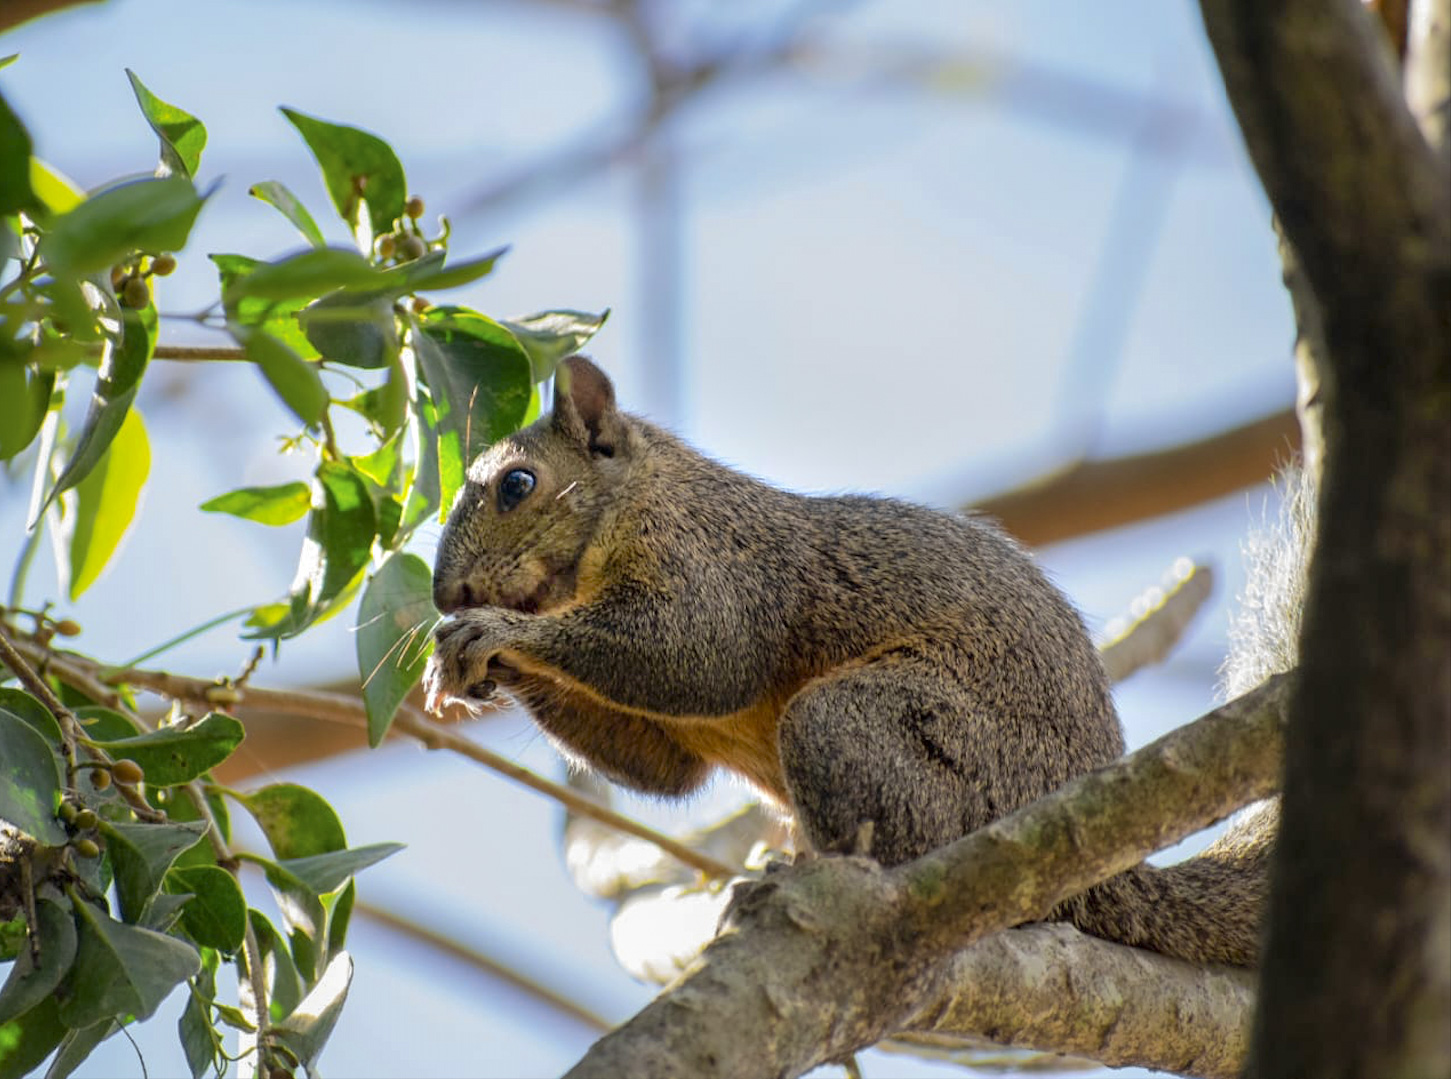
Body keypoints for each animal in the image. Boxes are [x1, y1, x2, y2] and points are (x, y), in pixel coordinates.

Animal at [423, 355, 1268, 967]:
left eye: (517, 483)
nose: (446, 591)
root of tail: (1111, 874)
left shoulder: (716, 563)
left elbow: (699, 657)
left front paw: (494, 632)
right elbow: (666, 770)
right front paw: (464, 664)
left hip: (915, 748)